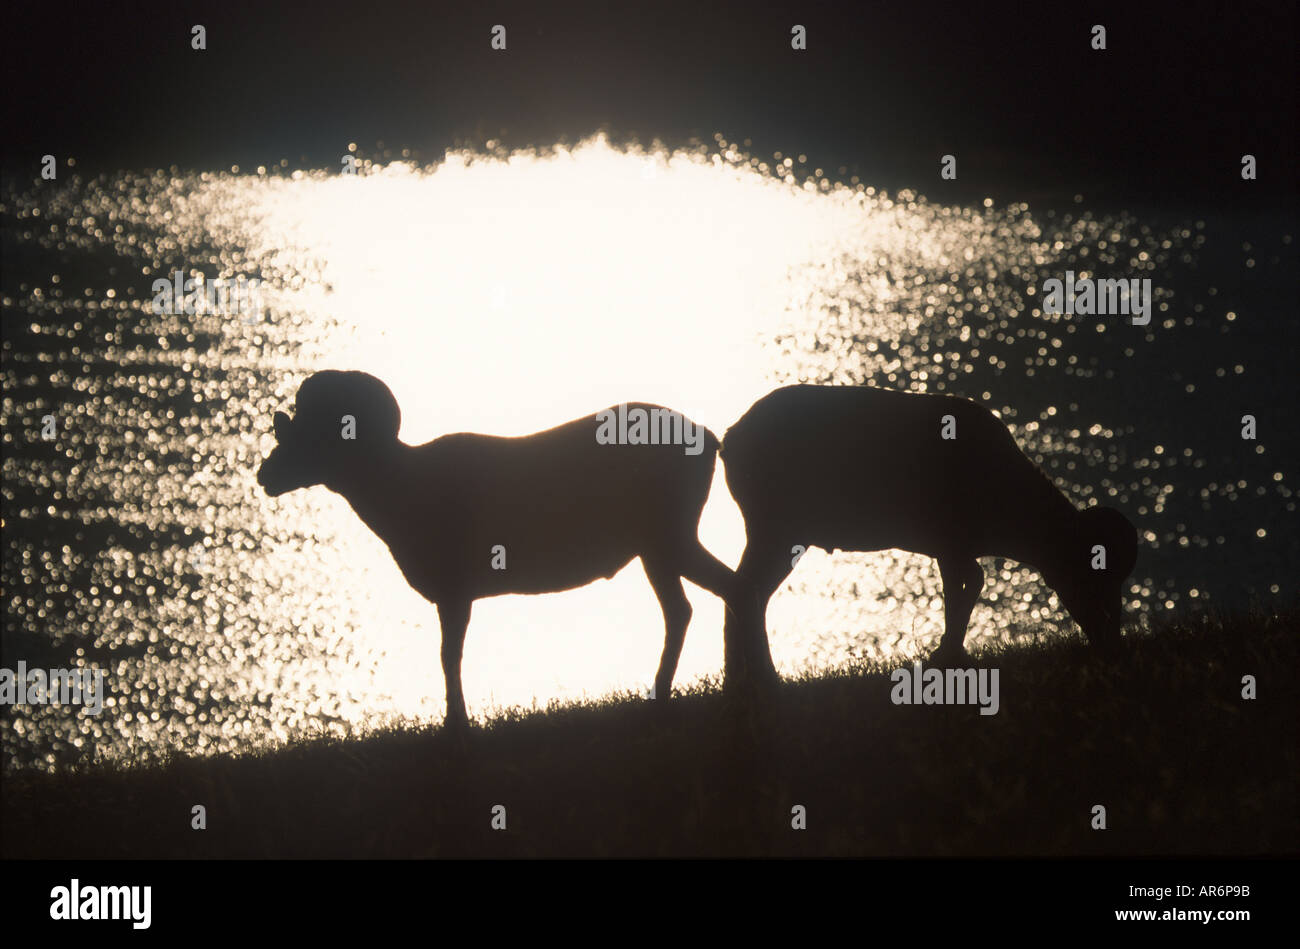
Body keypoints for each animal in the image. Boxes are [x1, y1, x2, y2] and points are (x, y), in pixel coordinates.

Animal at [256, 370, 741, 728]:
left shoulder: (455, 597)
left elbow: (449, 657)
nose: (266, 476)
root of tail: (707, 439)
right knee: (685, 609)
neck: (405, 488)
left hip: (668, 544)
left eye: (317, 434)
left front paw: (456, 725)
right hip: (657, 553)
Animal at [718, 384, 1139, 682]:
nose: (1112, 644)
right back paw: (765, 678)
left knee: (741, 588)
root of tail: (730, 437)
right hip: (775, 530)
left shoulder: (951, 548)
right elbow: (966, 584)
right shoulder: (951, 543)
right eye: (1091, 574)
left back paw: (740, 681)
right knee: (745, 590)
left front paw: (950, 653)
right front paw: (946, 655)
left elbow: (966, 584)